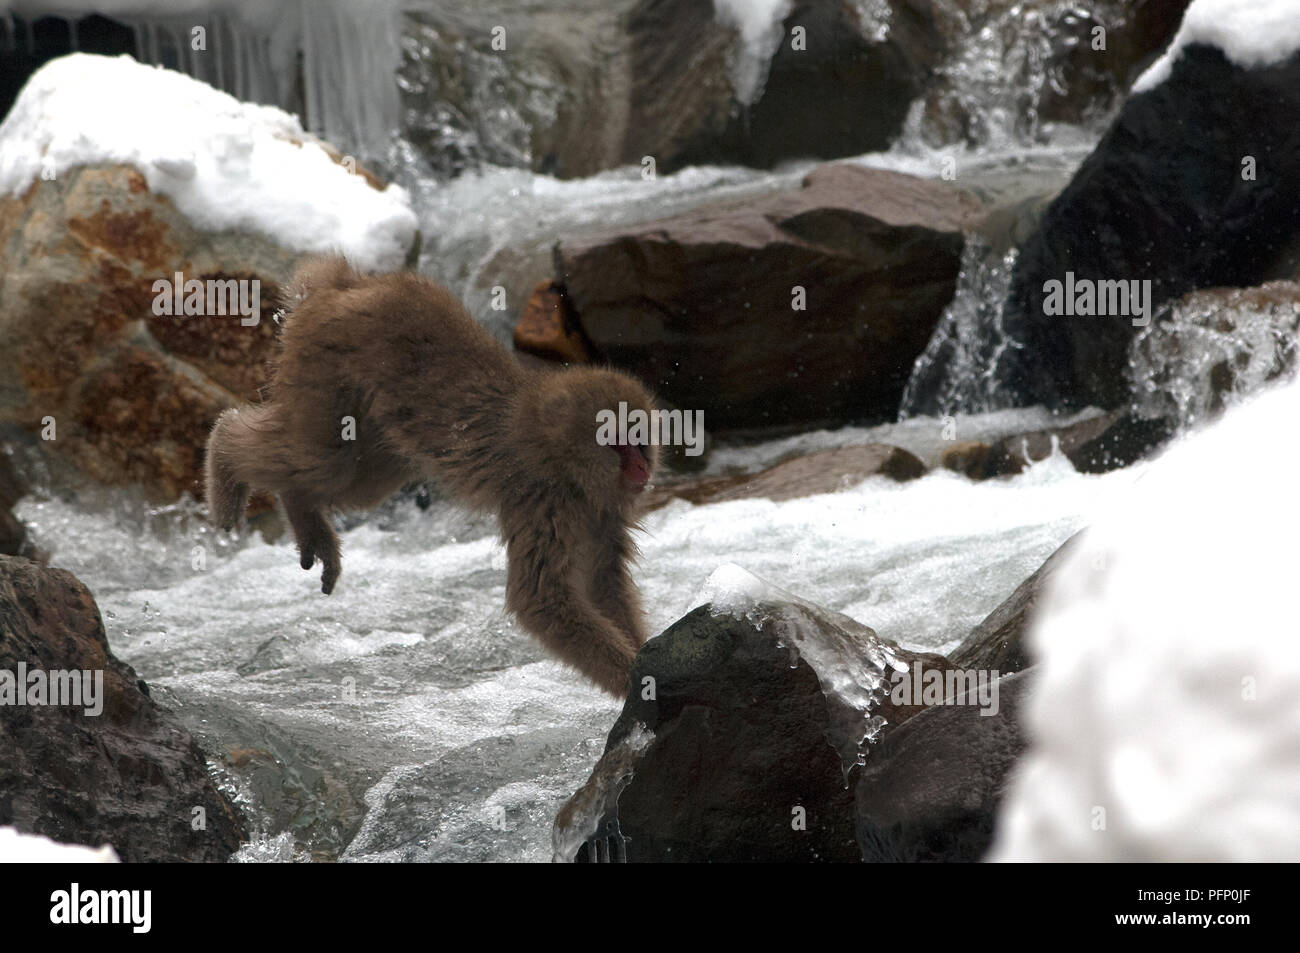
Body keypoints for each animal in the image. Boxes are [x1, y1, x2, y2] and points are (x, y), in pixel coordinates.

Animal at [204, 256, 659, 696]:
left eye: (638, 439)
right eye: (616, 442)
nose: (642, 468)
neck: (563, 461)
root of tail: (346, 285)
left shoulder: (600, 510)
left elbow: (602, 582)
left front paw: (644, 664)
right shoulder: (543, 500)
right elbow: (542, 600)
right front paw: (636, 684)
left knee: (359, 480)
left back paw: (299, 506)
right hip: (323, 365)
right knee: (323, 460)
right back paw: (224, 454)